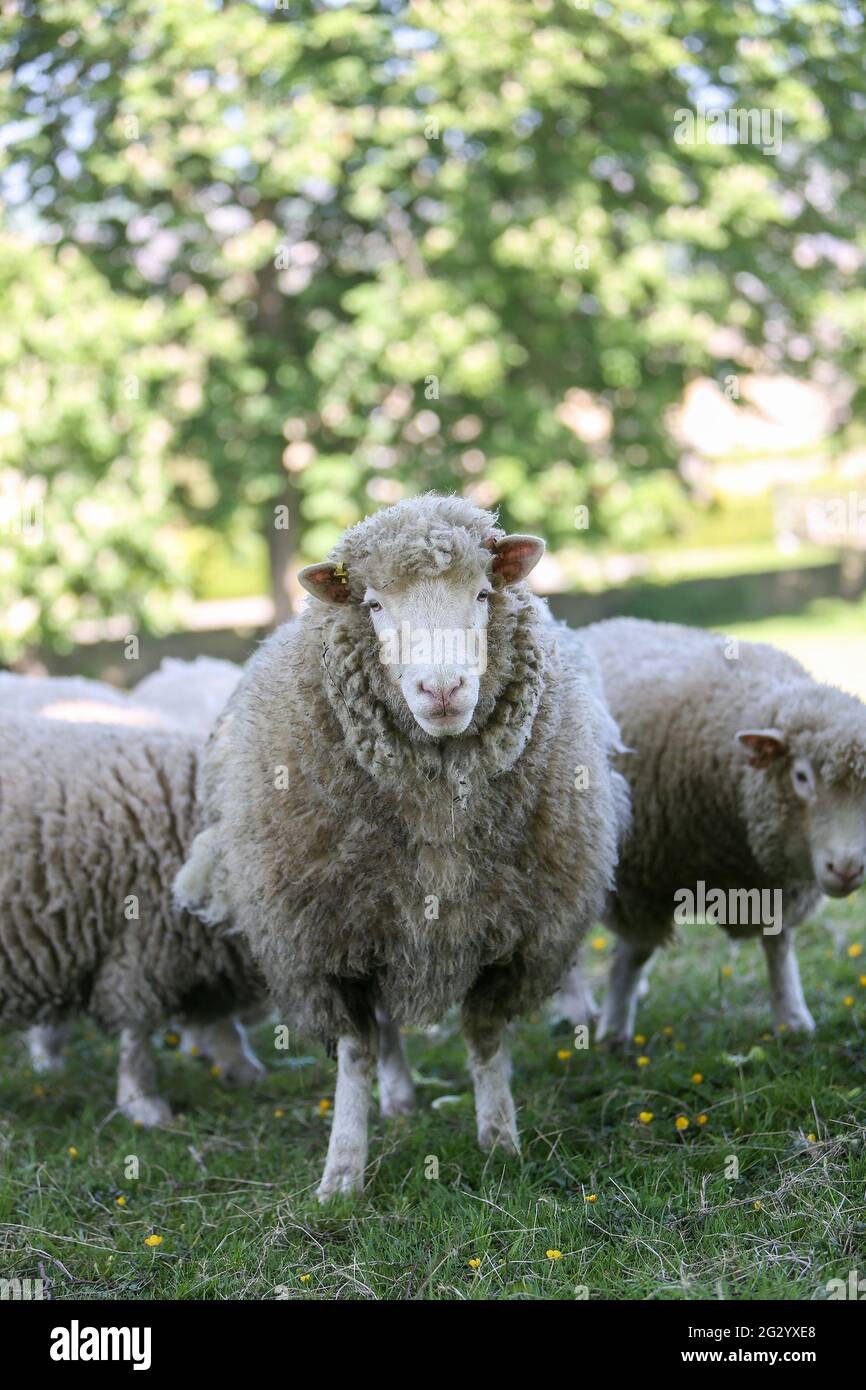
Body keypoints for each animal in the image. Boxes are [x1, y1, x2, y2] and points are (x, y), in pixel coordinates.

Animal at [0, 716, 265, 1125]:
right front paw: (143, 1104)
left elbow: (219, 1021)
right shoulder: (141, 943)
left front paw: (240, 1068)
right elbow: (137, 1032)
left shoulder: (200, 953)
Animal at [176, 494, 626, 1199]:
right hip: (373, 921)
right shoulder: (327, 945)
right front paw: (341, 1174)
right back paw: (397, 1099)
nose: (441, 690)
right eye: (374, 605)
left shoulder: (515, 936)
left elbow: (485, 1038)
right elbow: (356, 1054)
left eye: (481, 593)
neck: (437, 798)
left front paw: (500, 1143)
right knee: (383, 1035)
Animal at [556, 617, 866, 1047]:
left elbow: (779, 945)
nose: (847, 869)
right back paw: (575, 1006)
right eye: (801, 777)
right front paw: (615, 1030)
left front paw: (790, 1017)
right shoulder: (639, 883)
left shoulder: (775, 885)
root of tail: (597, 626)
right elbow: (636, 952)